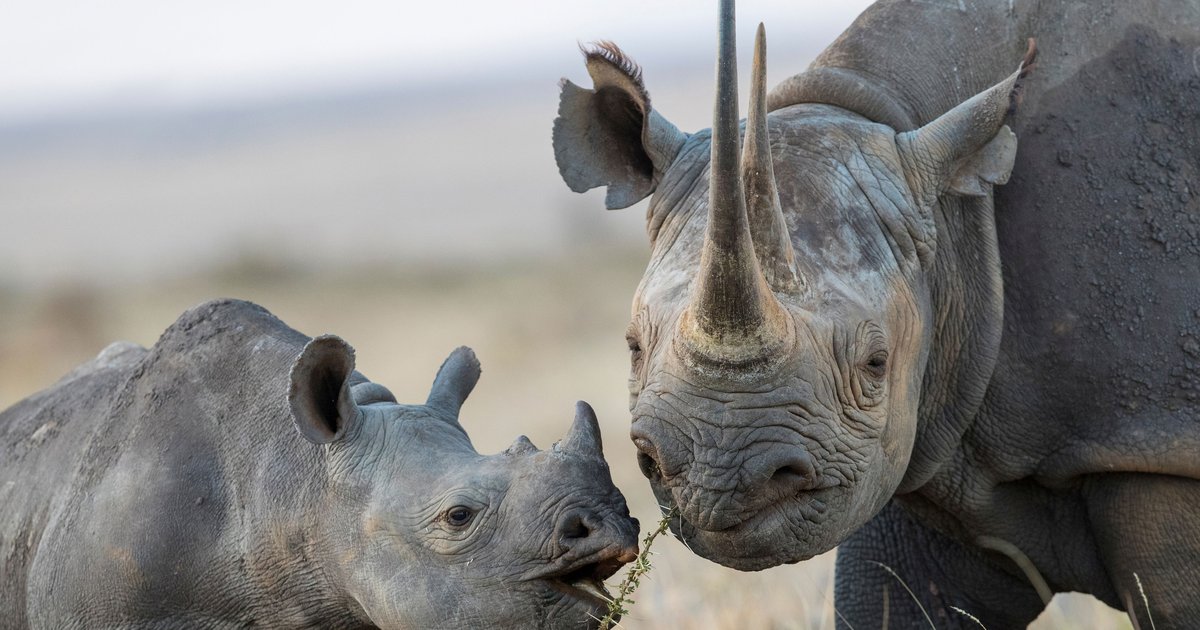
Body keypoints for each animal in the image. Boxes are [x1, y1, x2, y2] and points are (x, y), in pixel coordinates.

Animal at [553, 0, 1200, 626]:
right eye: (634, 347)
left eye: (875, 363)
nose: (719, 477)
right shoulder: (917, 446)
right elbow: (888, 602)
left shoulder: (1155, 442)